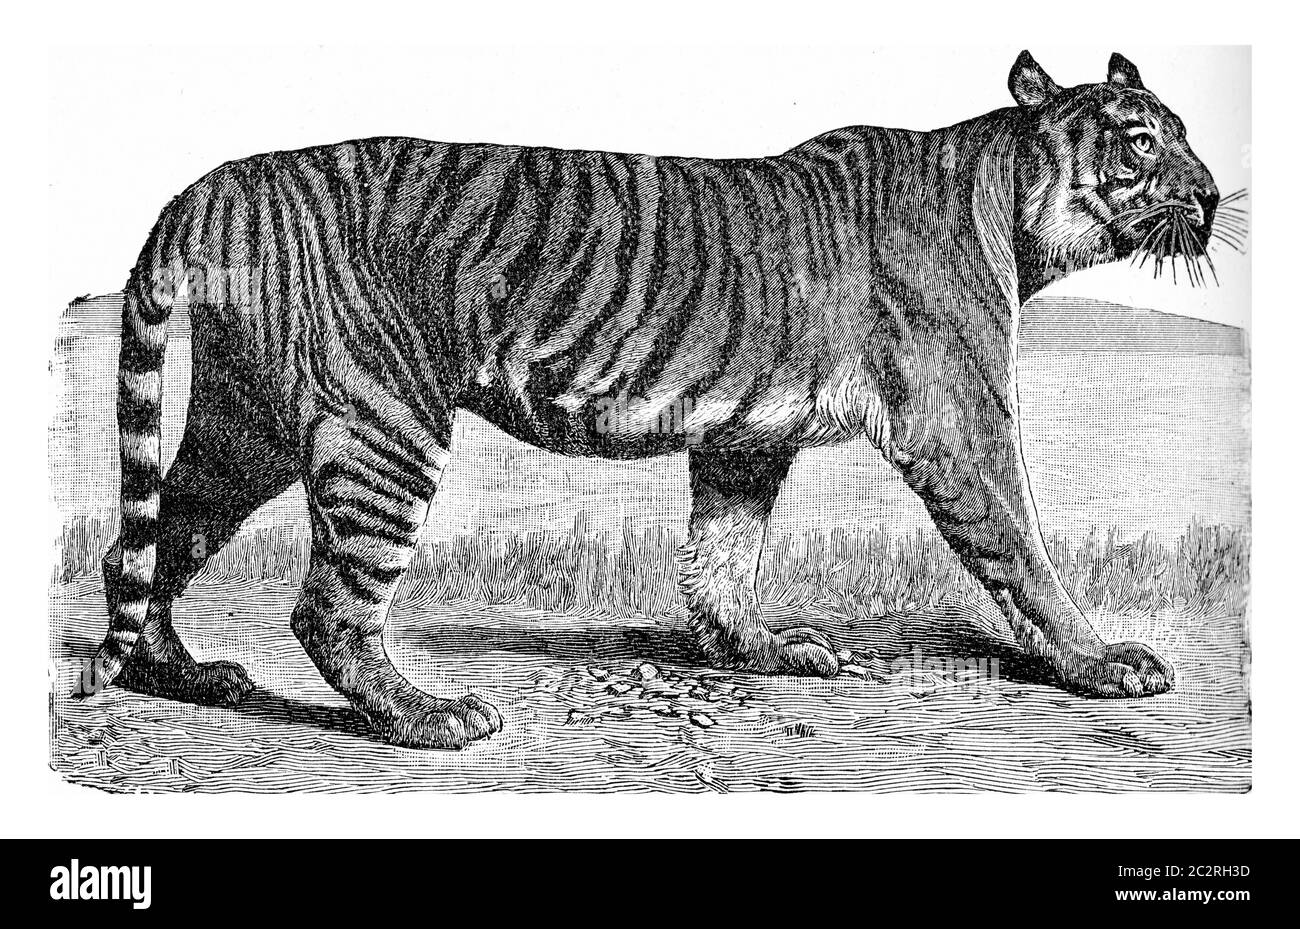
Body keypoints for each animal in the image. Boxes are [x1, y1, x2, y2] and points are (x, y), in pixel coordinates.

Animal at [82, 51, 1219, 749]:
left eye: (1184, 131)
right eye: (1138, 140)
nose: (1212, 197)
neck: (1010, 201)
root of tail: (213, 185)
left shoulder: (746, 438)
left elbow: (722, 553)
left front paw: (758, 650)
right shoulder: (960, 423)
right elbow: (1024, 549)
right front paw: (1099, 659)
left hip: (249, 419)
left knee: (153, 534)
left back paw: (180, 671)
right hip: (382, 423)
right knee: (327, 605)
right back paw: (428, 716)